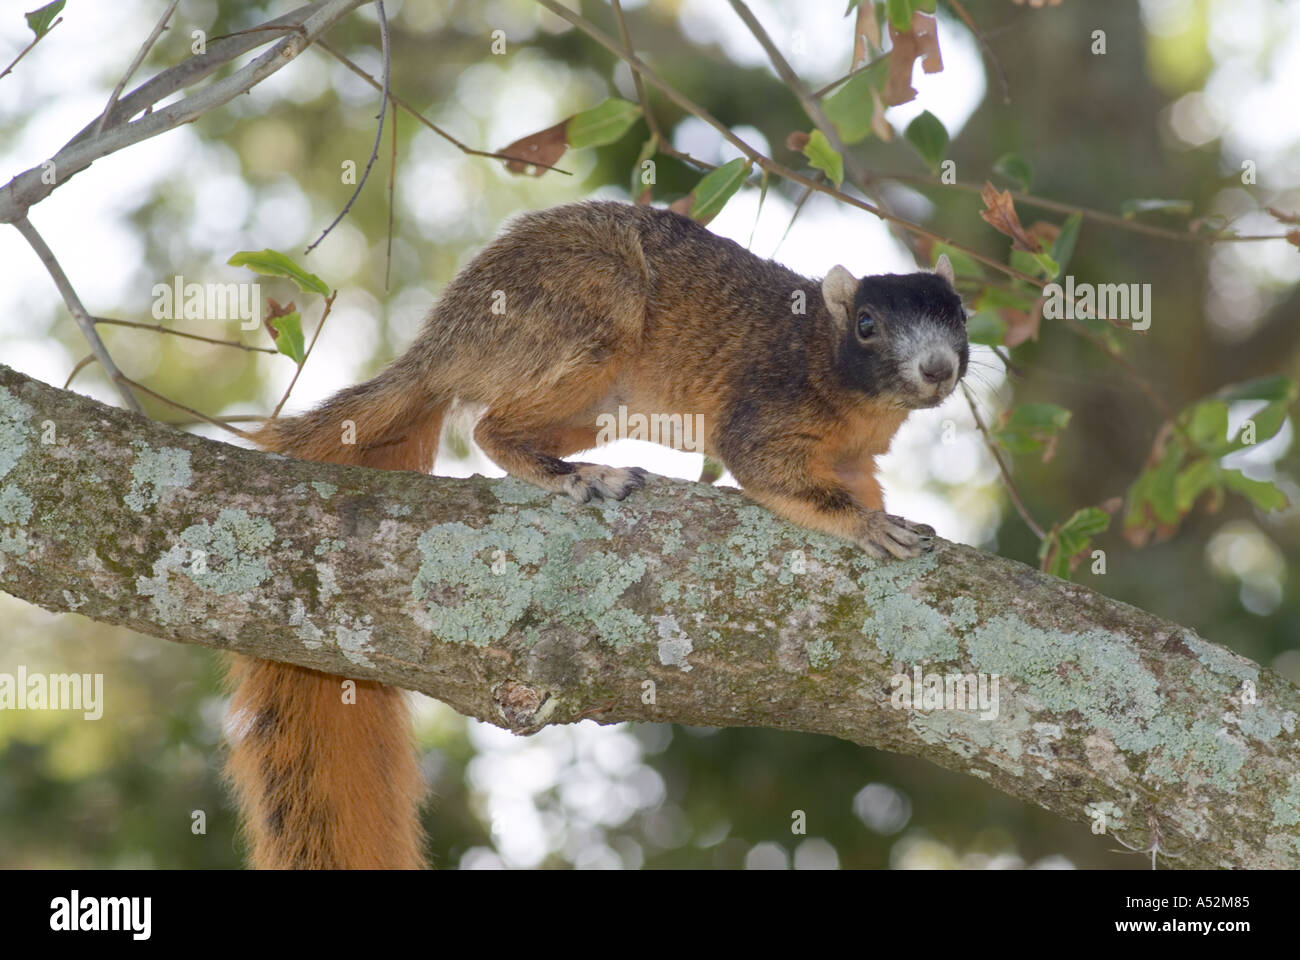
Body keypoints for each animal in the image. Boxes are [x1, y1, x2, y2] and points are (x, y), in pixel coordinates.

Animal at [225, 199, 968, 868]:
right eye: (867, 324)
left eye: (961, 316)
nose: (938, 369)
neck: (842, 375)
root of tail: (442, 349)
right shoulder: (770, 406)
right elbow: (772, 471)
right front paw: (868, 524)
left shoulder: (857, 457)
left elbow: (857, 481)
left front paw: (882, 511)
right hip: (578, 308)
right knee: (493, 425)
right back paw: (571, 474)